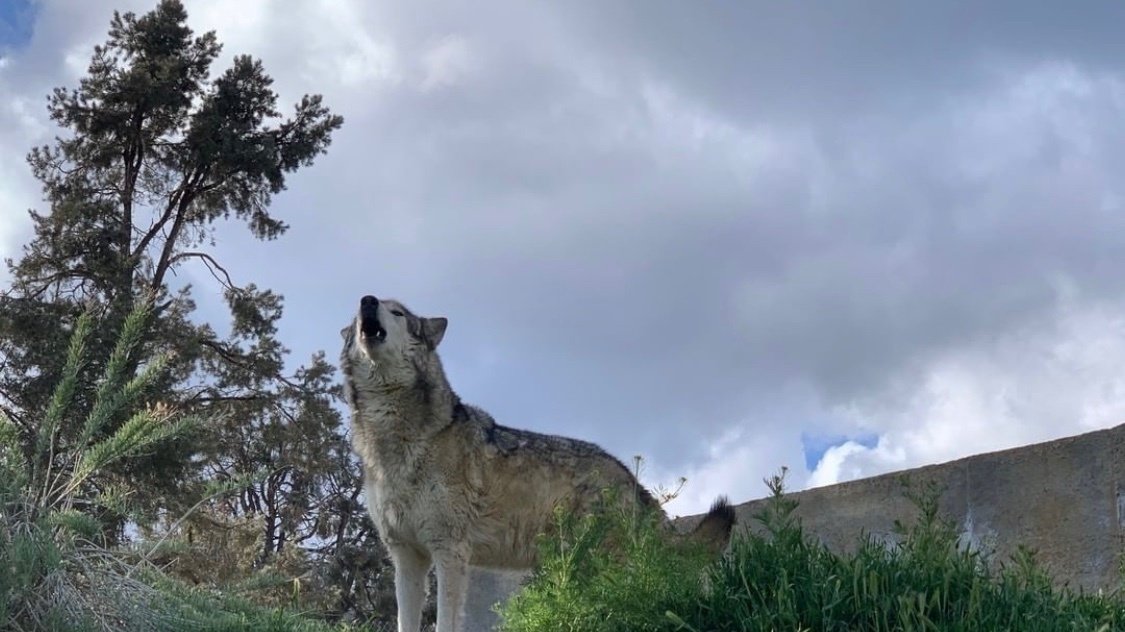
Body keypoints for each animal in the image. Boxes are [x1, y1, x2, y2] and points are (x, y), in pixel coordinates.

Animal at [339, 294, 736, 632]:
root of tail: (628, 475)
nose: (367, 300)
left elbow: (446, 621)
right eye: (358, 314)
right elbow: (405, 621)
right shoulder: (406, 557)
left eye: (397, 312)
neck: (395, 438)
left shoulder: (449, 551)